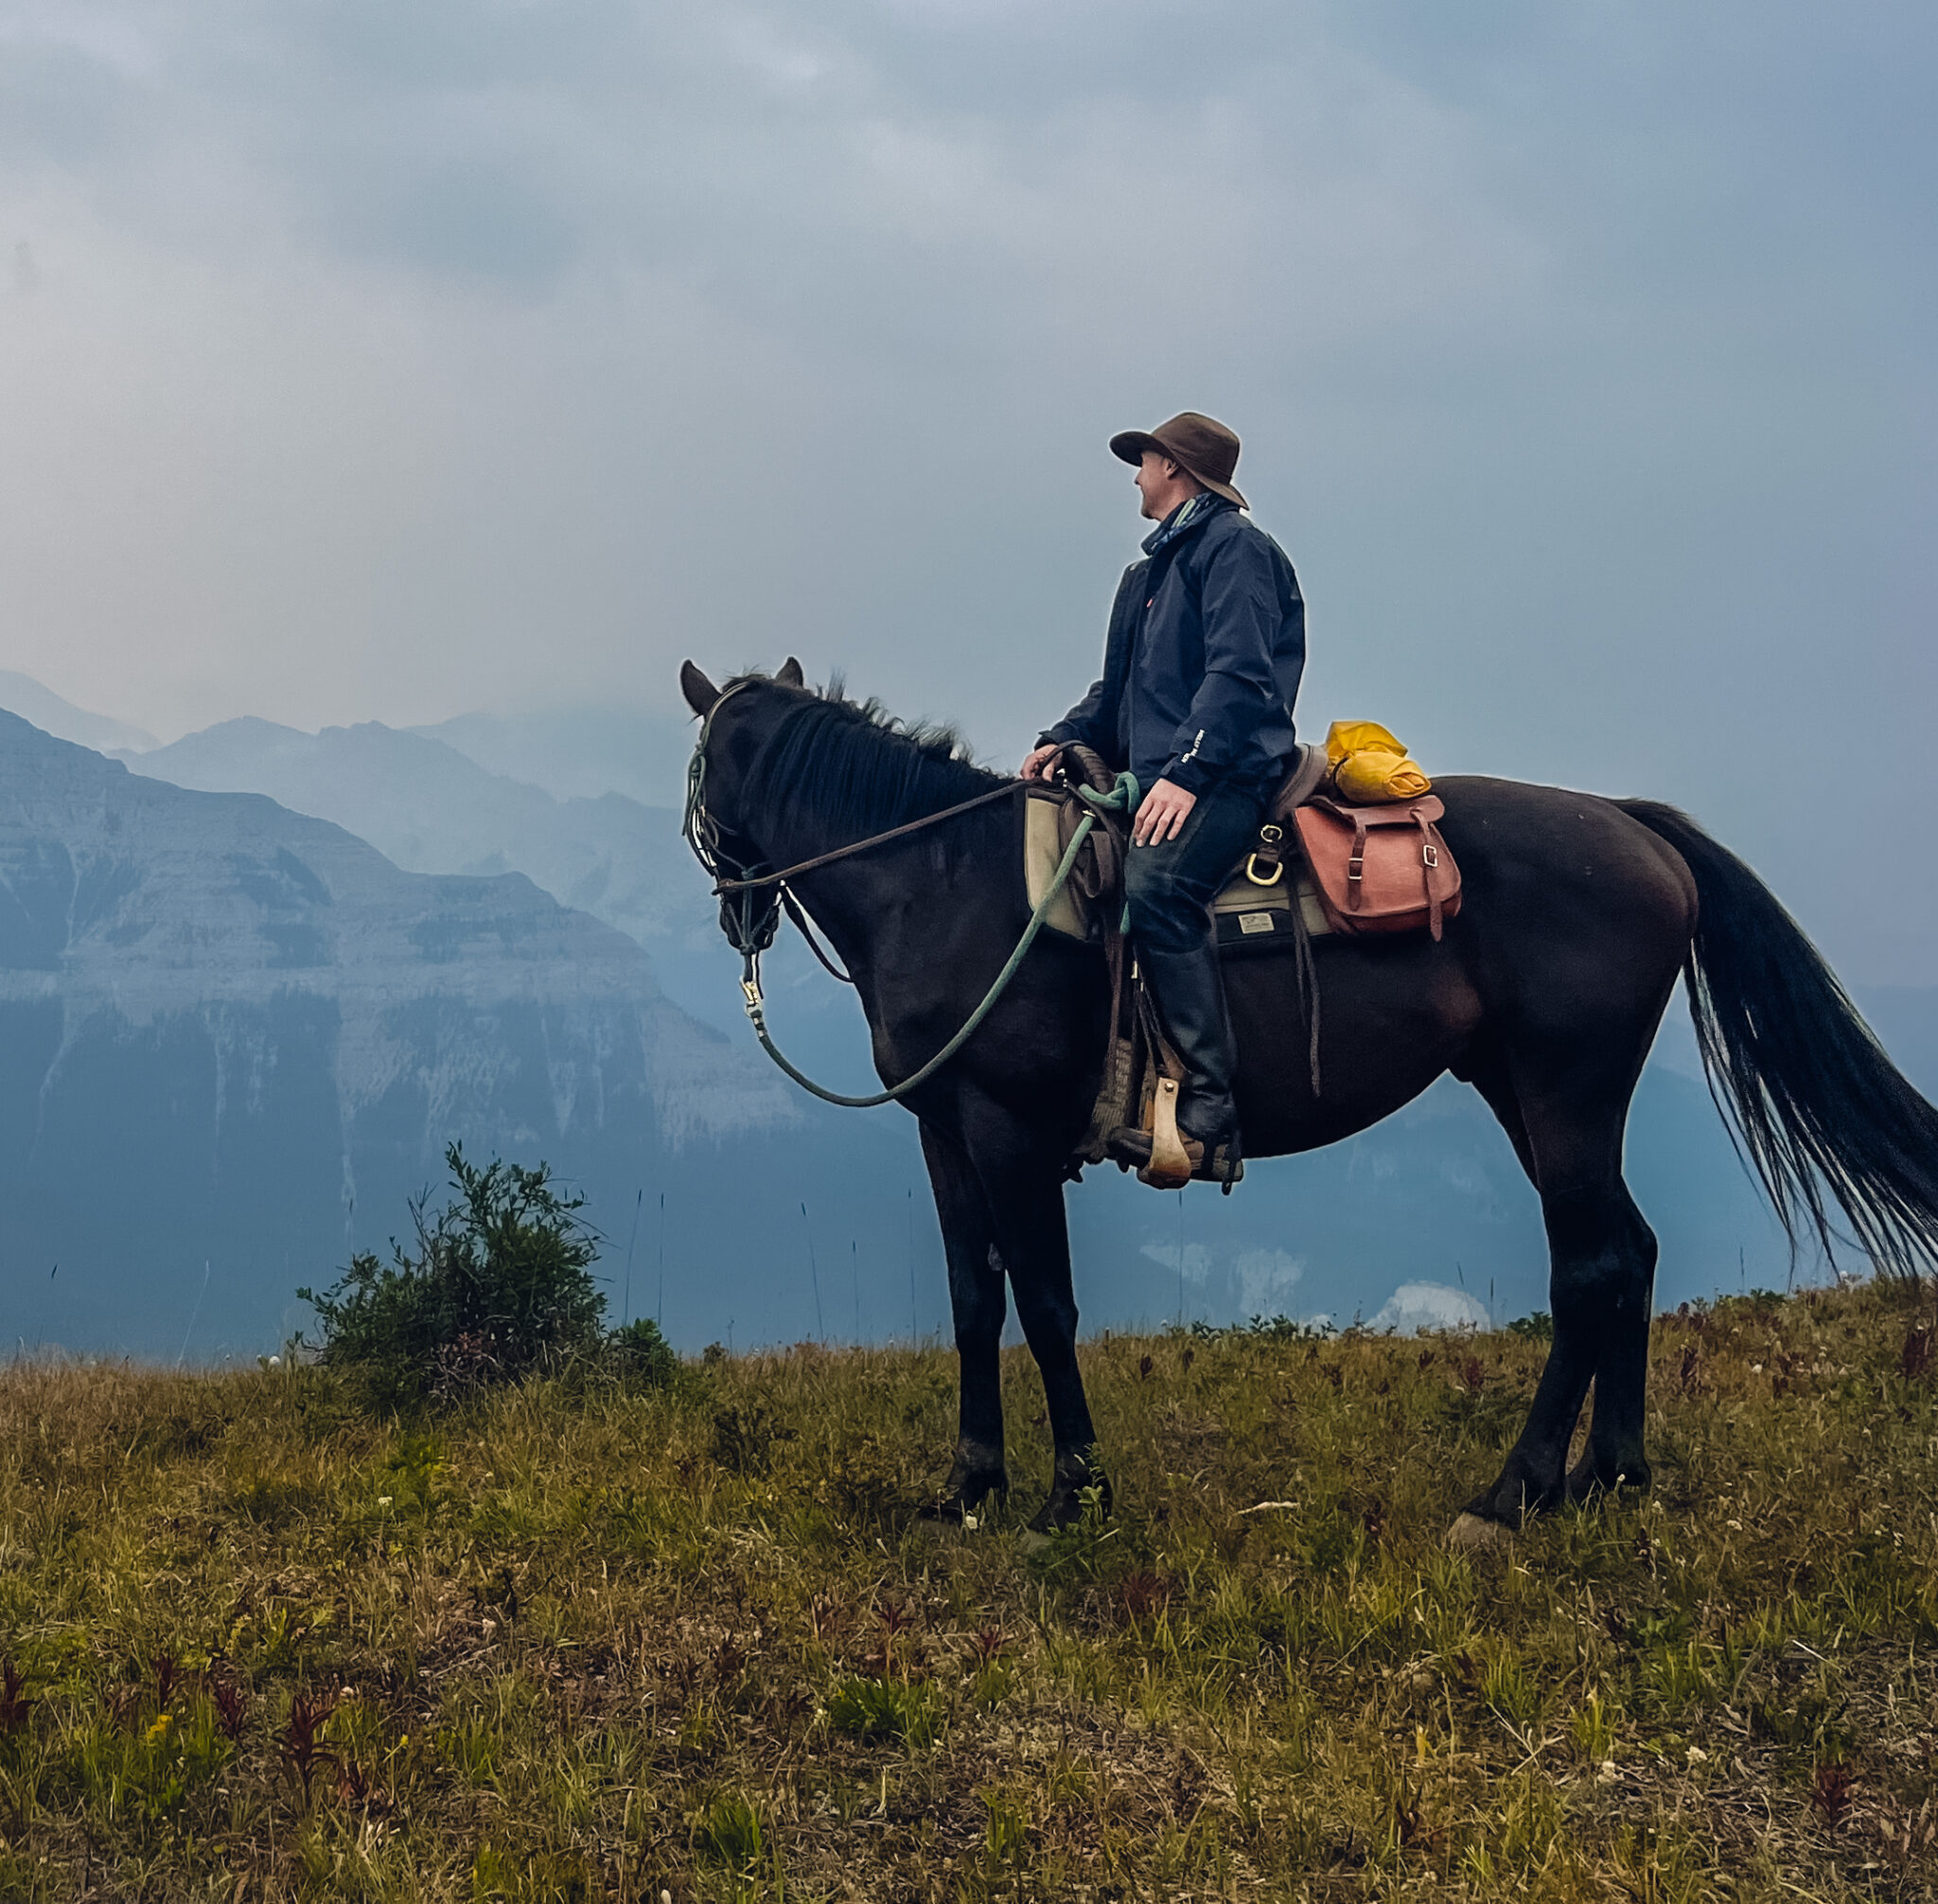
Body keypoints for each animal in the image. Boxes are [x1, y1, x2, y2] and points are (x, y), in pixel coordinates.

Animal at [680, 659, 1938, 1541]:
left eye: (693, 775)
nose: (737, 909)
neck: (940, 886)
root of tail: (1634, 824)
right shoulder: (945, 1131)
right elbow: (972, 1301)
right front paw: (966, 1484)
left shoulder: (1007, 1132)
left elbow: (1042, 1303)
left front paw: (1071, 1493)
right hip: (1524, 1090)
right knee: (1627, 1249)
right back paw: (1606, 1475)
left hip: (1564, 1089)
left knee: (1587, 1266)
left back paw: (1510, 1492)